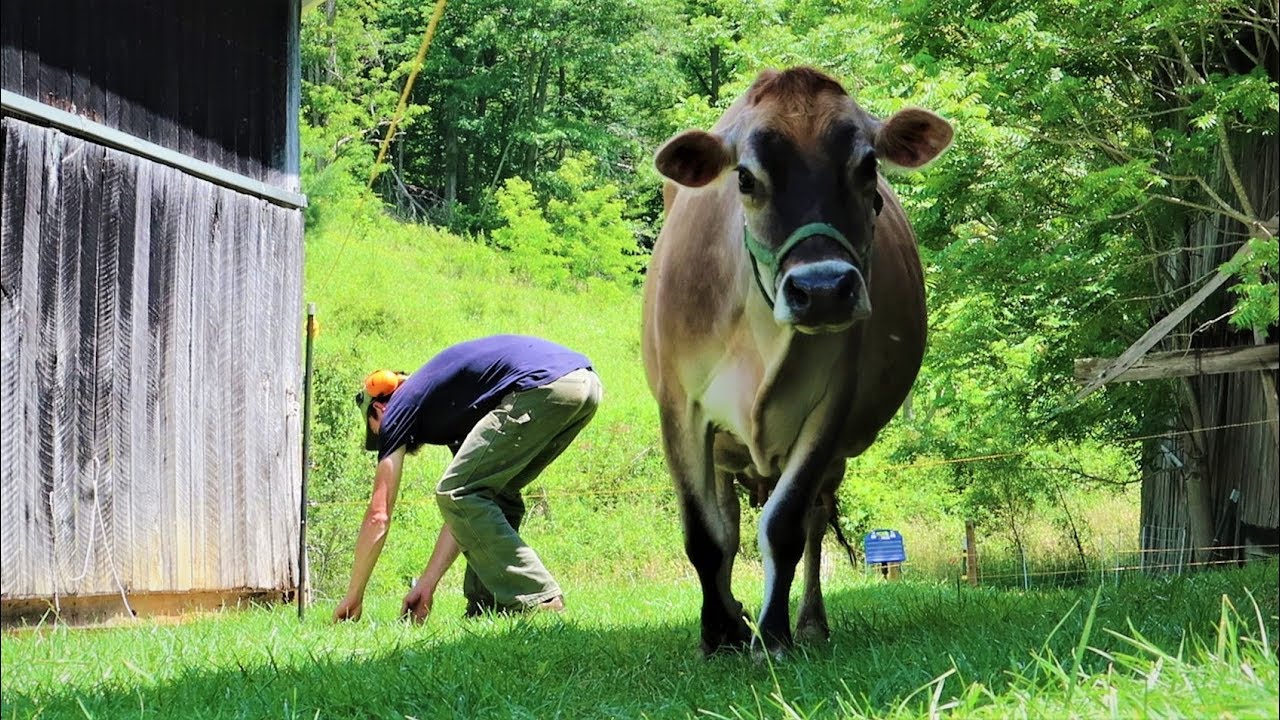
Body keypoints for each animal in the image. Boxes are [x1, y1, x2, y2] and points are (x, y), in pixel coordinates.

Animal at [641, 66, 952, 657]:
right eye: (744, 178)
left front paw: (775, 633)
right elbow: (705, 536)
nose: (824, 289)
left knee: (811, 522)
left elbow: (783, 527)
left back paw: (809, 621)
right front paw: (720, 632)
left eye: (868, 166)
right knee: (729, 523)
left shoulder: (831, 409)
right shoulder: (680, 407)